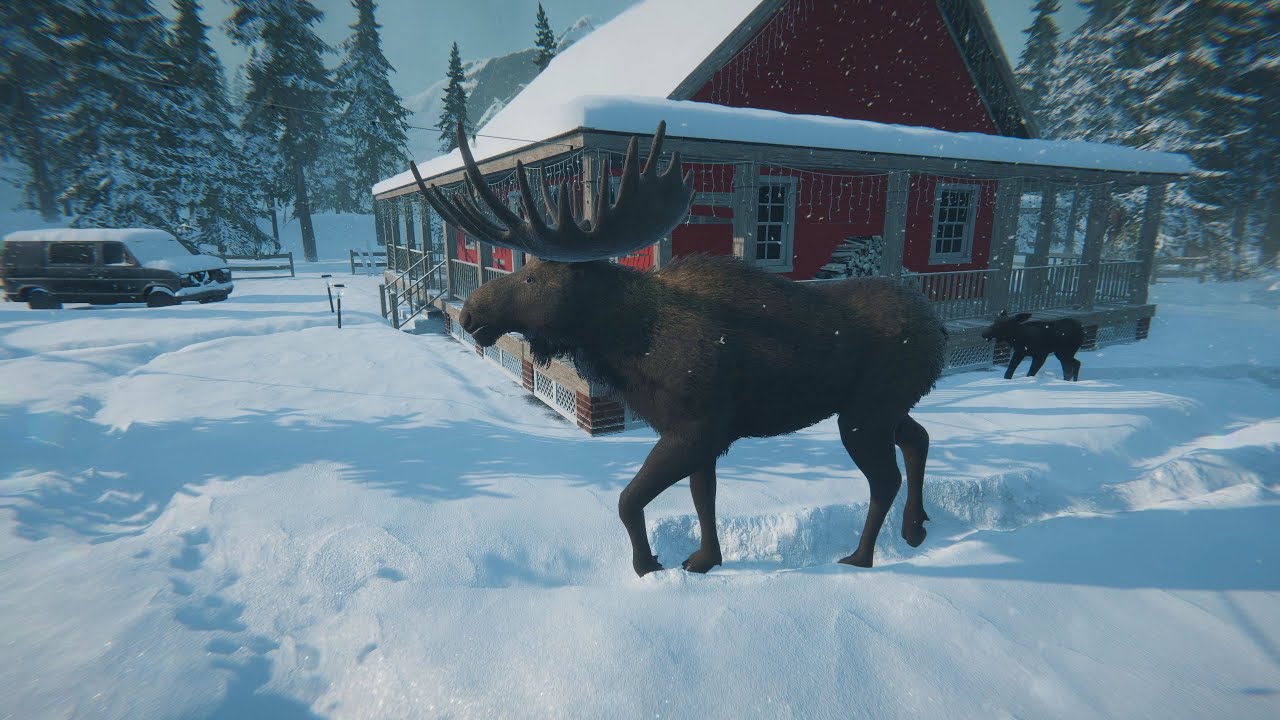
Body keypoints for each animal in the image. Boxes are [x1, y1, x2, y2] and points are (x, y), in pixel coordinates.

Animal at [412, 122, 948, 577]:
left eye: (532, 278)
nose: (469, 314)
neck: (629, 346)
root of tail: (938, 331)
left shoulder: (696, 427)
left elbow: (629, 500)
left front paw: (647, 564)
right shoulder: (701, 434)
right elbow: (701, 498)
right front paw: (704, 559)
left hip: (864, 413)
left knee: (885, 479)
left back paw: (862, 557)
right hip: (884, 407)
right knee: (918, 438)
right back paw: (915, 527)